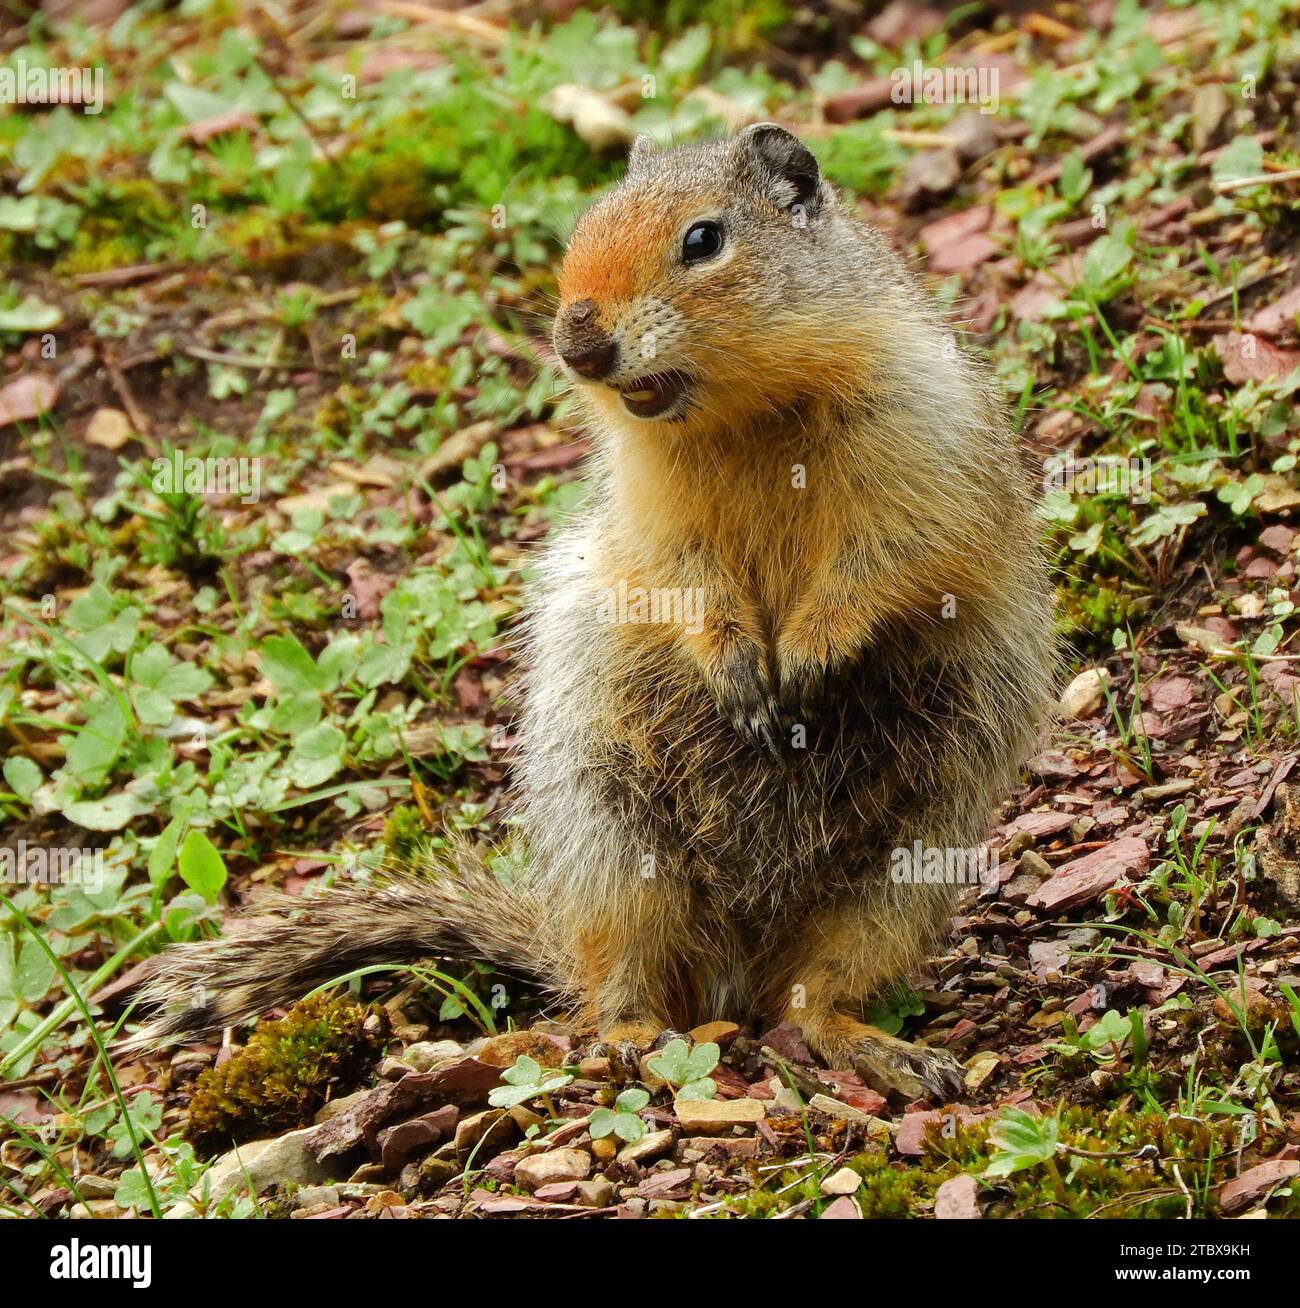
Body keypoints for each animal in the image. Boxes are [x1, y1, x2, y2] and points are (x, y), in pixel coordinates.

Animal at [133, 125, 1057, 1099]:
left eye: (703, 240)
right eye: (579, 229)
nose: (577, 343)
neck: (750, 417)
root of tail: (740, 965)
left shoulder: (920, 450)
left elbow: (882, 564)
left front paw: (808, 656)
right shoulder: (653, 515)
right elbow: (677, 581)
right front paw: (739, 670)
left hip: (903, 871)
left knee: (814, 998)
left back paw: (883, 1051)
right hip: (618, 849)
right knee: (621, 987)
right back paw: (635, 1037)